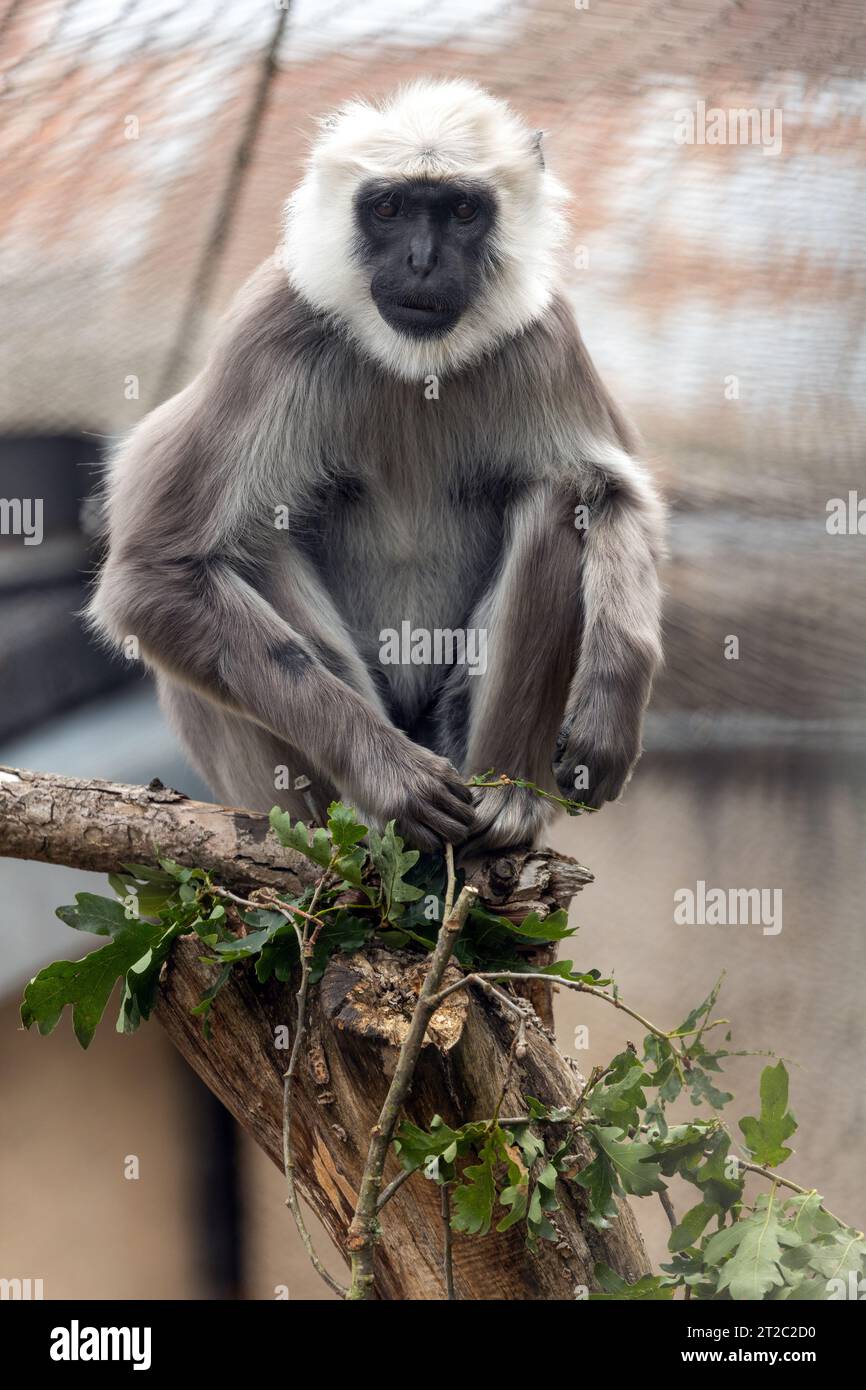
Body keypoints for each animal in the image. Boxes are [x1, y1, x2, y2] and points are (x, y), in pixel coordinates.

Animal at [88, 79, 664, 856]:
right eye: (388, 208)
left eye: (460, 211)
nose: (421, 262)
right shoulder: (272, 330)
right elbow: (153, 575)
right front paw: (389, 779)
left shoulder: (546, 335)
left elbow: (613, 494)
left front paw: (611, 703)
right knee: (254, 537)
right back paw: (369, 818)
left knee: (557, 496)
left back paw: (507, 801)